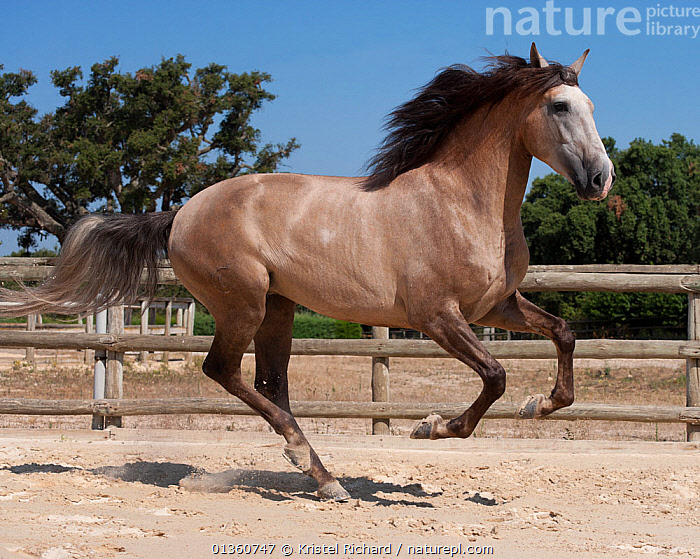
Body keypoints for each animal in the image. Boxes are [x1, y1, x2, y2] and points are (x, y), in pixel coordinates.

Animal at [0, 44, 614, 501]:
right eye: (561, 107)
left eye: (591, 104)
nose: (601, 179)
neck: (461, 202)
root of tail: (182, 212)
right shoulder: (438, 317)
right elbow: (495, 375)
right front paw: (431, 426)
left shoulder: (496, 306)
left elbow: (564, 334)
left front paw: (540, 406)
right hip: (243, 303)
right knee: (224, 371)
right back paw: (308, 461)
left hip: (278, 307)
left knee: (269, 382)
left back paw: (325, 479)